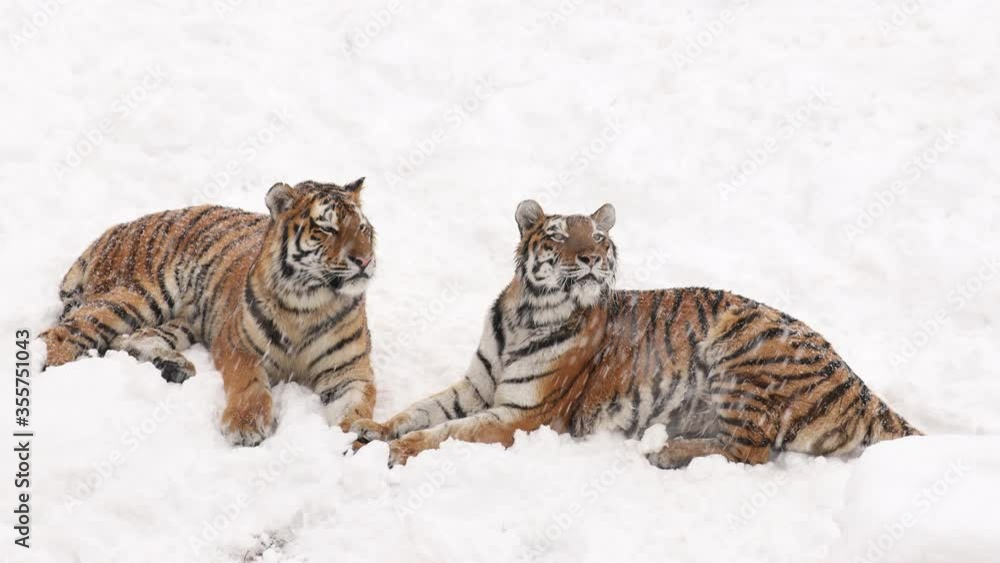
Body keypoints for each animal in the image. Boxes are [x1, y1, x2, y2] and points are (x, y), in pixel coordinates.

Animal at [40, 179, 378, 446]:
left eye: (362, 227)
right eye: (327, 229)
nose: (364, 260)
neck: (310, 303)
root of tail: (109, 233)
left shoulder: (350, 371)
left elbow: (357, 405)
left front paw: (356, 436)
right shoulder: (237, 345)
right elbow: (249, 384)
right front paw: (245, 426)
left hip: (182, 321)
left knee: (130, 338)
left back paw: (174, 366)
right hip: (137, 297)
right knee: (61, 334)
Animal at [350, 199, 922, 468]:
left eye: (599, 235)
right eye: (559, 235)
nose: (592, 256)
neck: (528, 312)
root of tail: (860, 387)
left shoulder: (522, 414)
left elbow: (449, 432)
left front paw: (395, 452)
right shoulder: (476, 386)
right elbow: (421, 410)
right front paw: (374, 430)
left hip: (742, 355)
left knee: (752, 452)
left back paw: (666, 454)